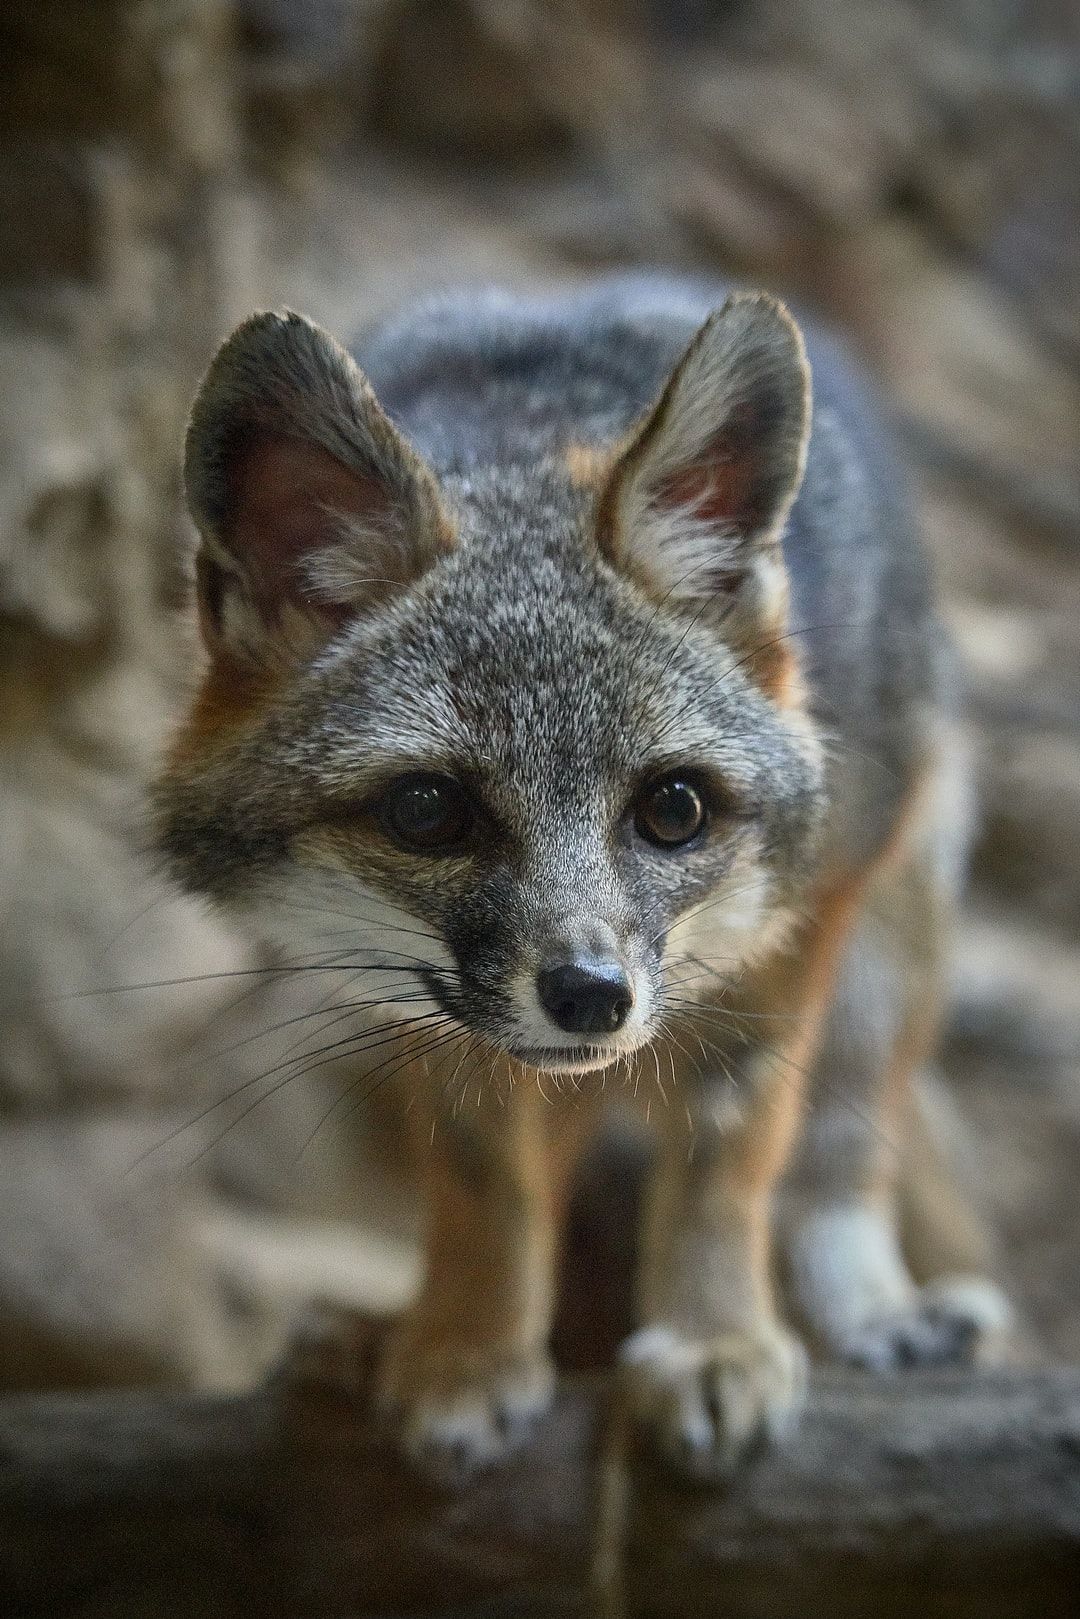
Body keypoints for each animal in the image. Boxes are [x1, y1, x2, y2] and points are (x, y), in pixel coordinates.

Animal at [153, 273, 1012, 1483]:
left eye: (674, 809)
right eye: (427, 810)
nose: (593, 996)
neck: (528, 434)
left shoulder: (798, 927)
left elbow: (729, 1158)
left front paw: (711, 1338)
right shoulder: (439, 1020)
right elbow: (487, 1189)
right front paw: (465, 1350)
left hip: (890, 944)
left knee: (841, 1156)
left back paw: (876, 1311)